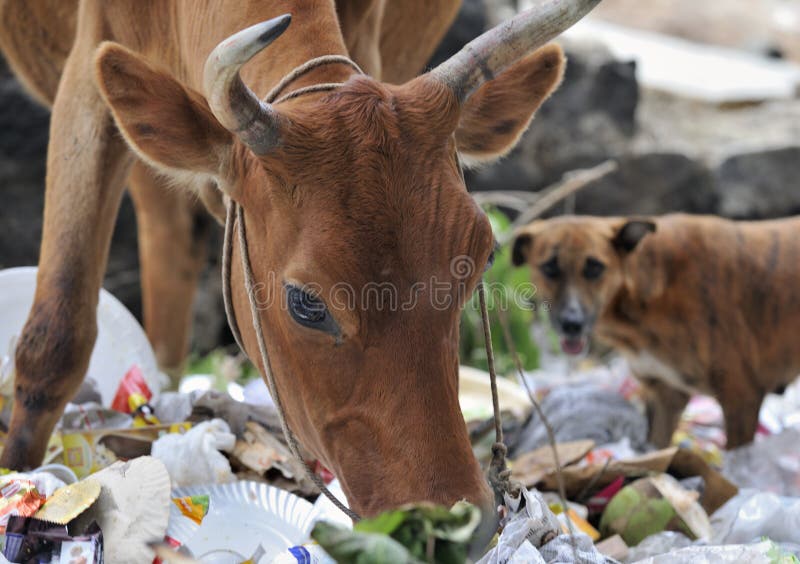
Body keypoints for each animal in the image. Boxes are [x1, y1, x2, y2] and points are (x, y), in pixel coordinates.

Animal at [0, 0, 598, 518]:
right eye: (306, 303)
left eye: (480, 261)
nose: (456, 513)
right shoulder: (87, 69)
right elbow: (54, 340)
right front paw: (19, 474)